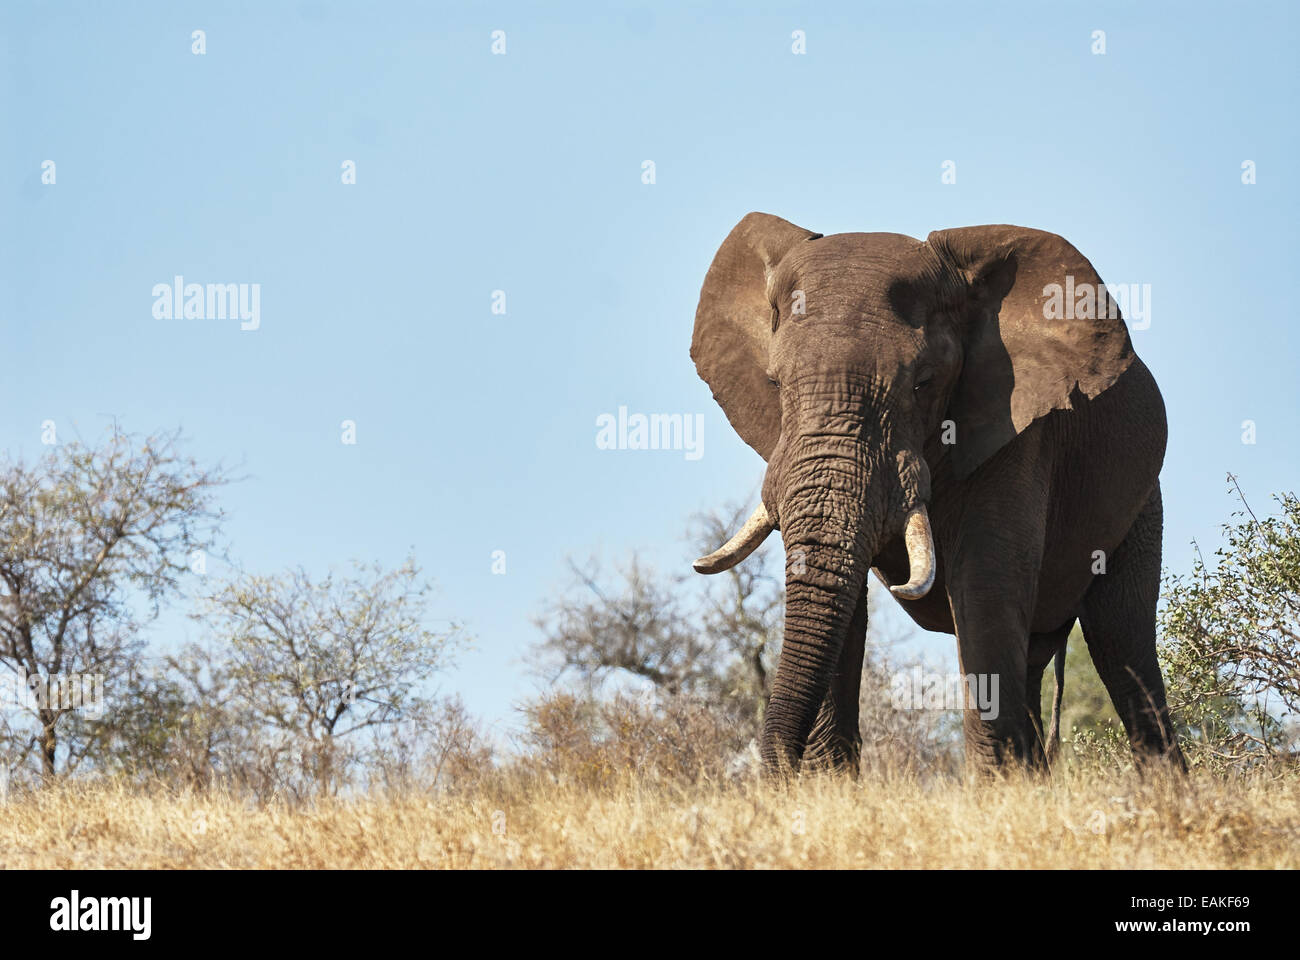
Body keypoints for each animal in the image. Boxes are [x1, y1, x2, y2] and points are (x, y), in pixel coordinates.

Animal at [690, 212, 1186, 776]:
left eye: (922, 384)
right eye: (774, 384)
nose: (776, 775)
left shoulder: (1018, 427)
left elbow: (984, 589)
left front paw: (998, 789)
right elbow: (840, 602)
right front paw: (827, 788)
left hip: (1140, 500)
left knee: (1121, 642)